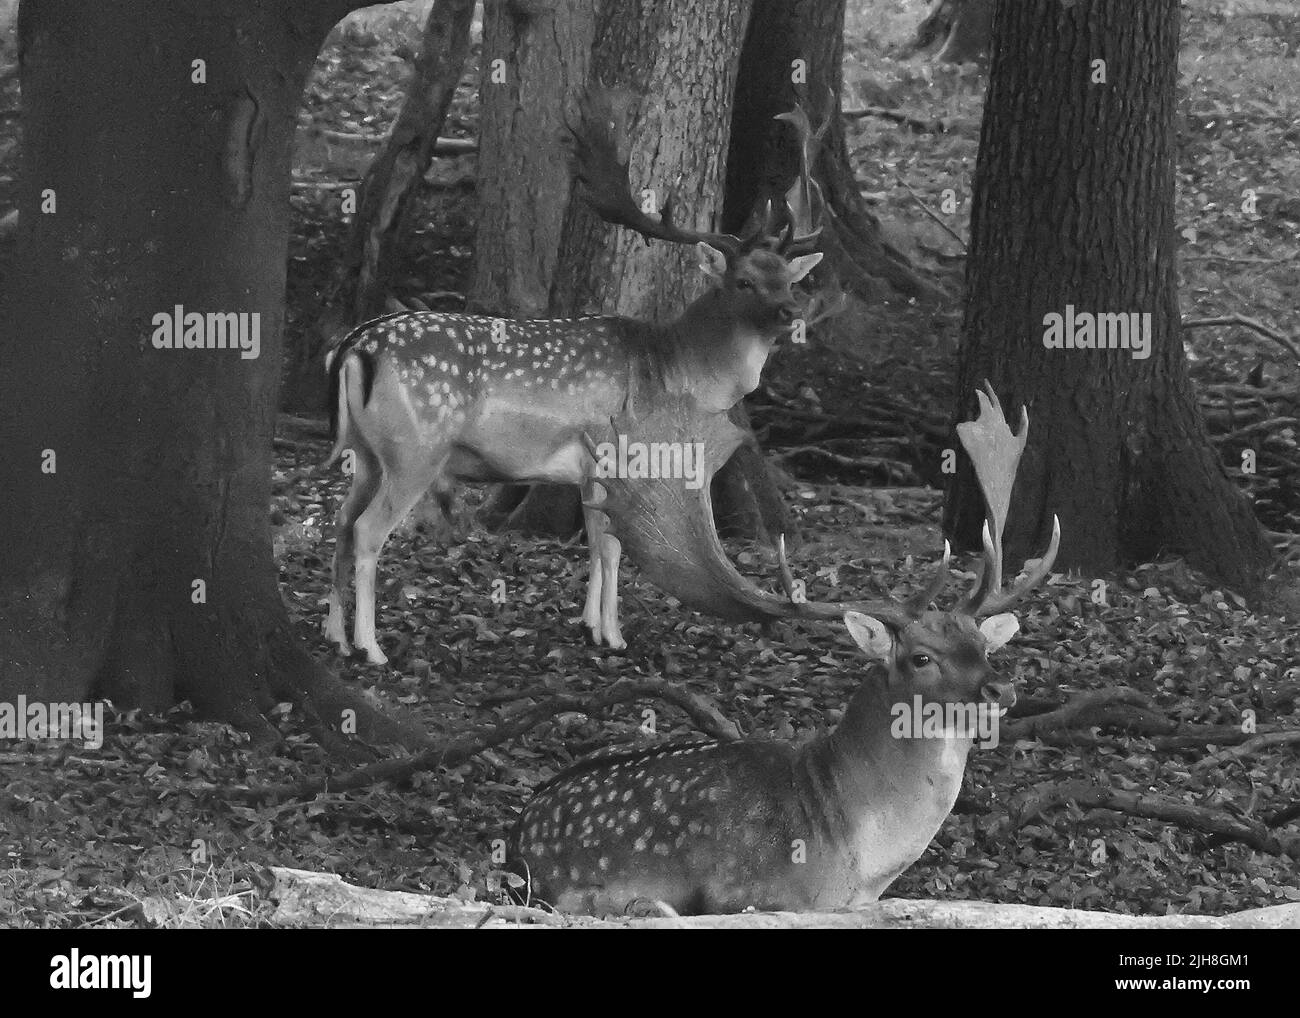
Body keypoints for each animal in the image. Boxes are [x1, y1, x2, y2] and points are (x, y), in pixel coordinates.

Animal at [321, 89, 823, 665]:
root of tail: (357, 346)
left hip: (366, 452)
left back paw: (335, 635)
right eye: (743, 281)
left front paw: (589, 625)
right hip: (416, 450)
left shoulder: (590, 471)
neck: (676, 364)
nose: (790, 312)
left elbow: (601, 545)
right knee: (366, 530)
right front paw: (612, 635)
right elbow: (613, 547)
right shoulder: (623, 454)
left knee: (340, 522)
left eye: (787, 279)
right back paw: (370, 647)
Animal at [505, 384, 1061, 915]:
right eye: (921, 657)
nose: (1002, 688)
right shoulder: (743, 889)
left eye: (982, 645)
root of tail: (518, 831)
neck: (854, 862)